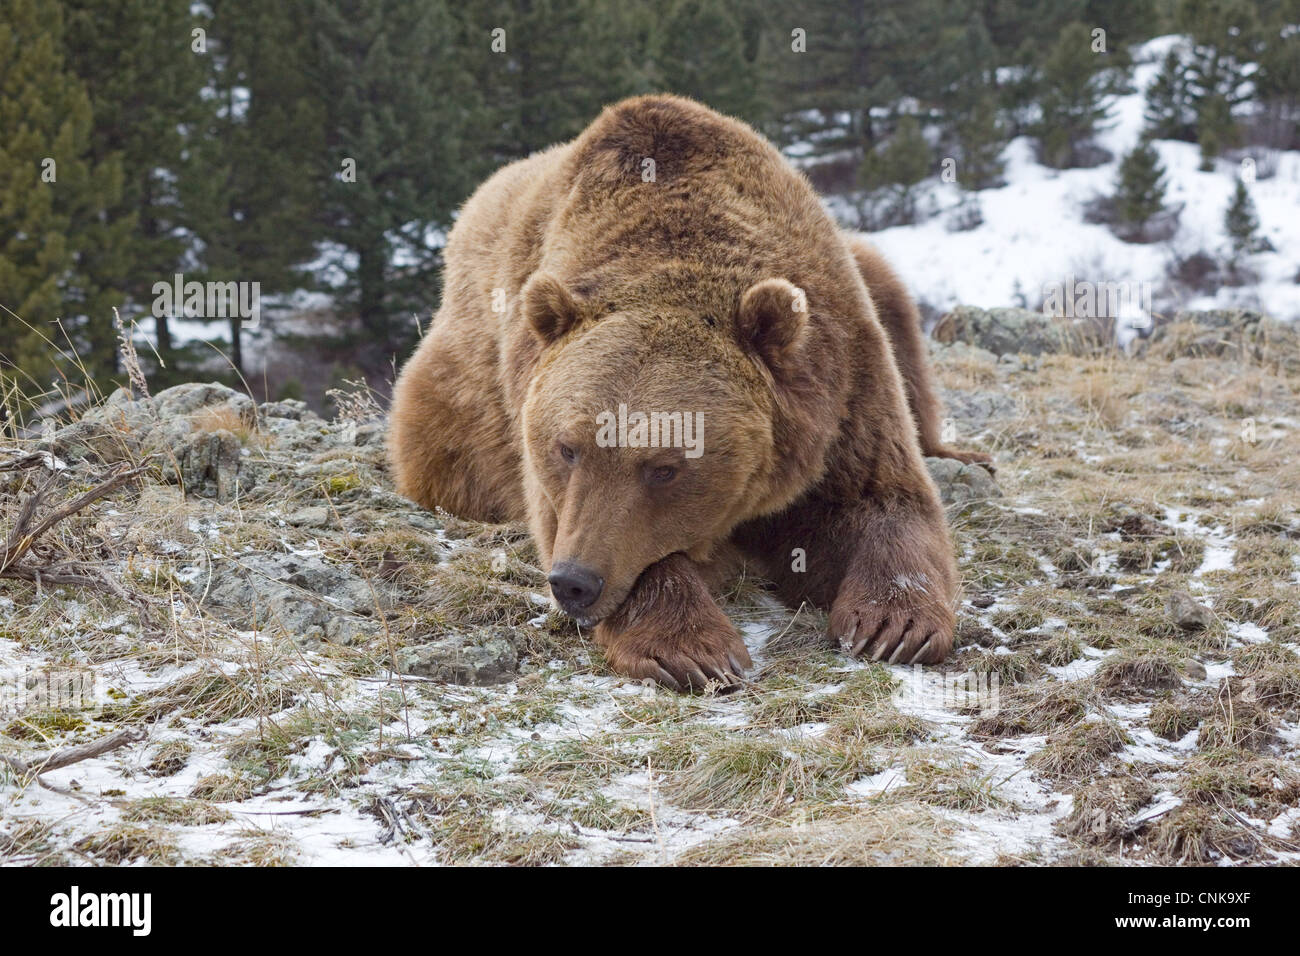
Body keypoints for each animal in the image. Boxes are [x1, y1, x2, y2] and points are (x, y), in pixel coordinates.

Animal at [388, 94, 991, 691]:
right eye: (567, 449)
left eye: (665, 467)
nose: (575, 582)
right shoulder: (529, 406)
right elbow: (596, 533)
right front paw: (692, 648)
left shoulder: (842, 375)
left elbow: (883, 497)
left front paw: (892, 624)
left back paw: (960, 452)